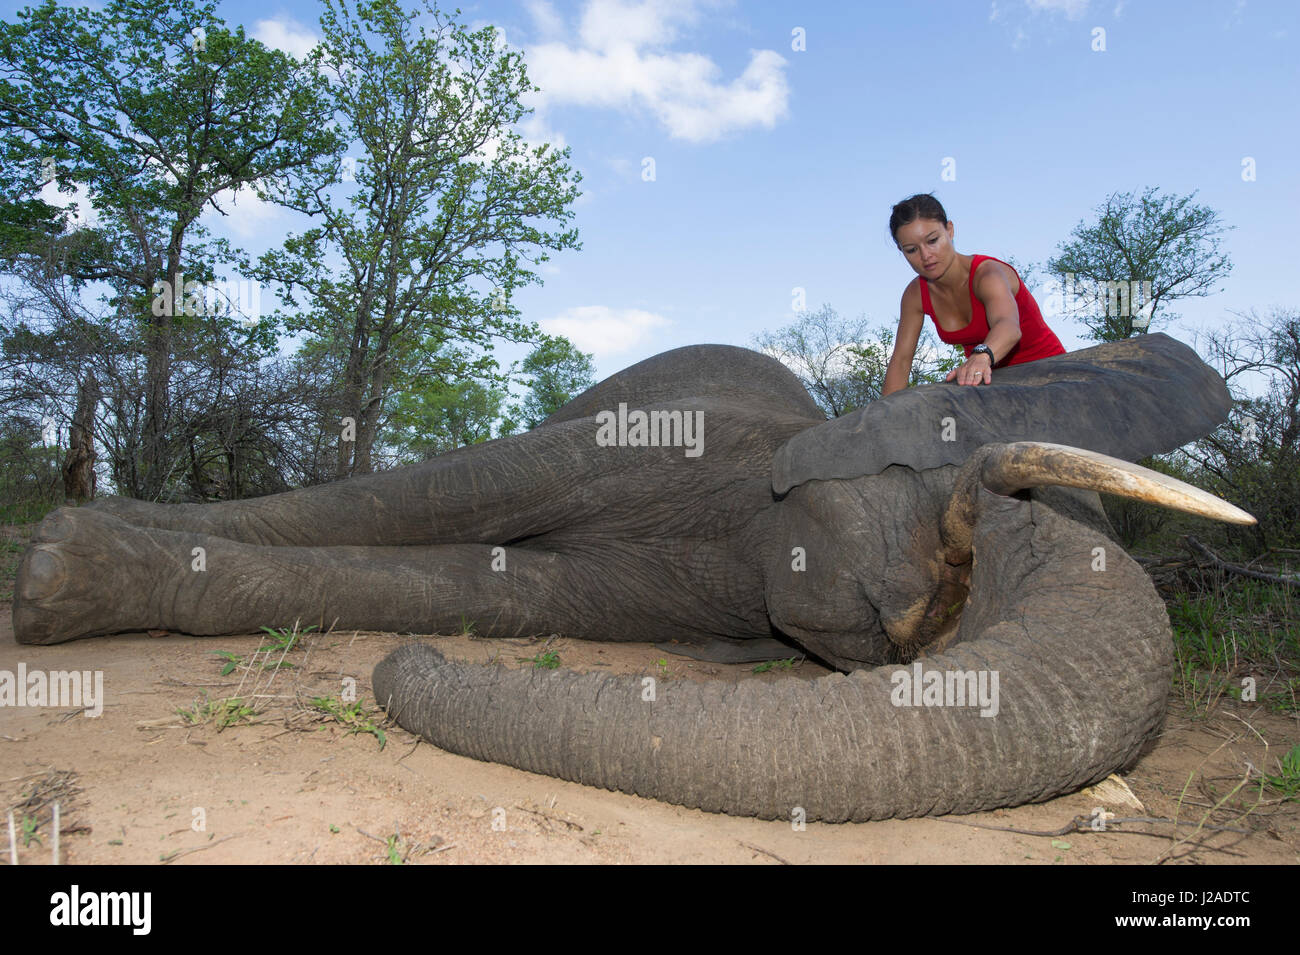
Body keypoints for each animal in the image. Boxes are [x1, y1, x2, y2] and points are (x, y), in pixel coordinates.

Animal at [11, 333, 1252, 822]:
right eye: (968, 483)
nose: (391, 674)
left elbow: (494, 589)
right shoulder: (690, 436)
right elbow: (442, 489)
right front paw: (48, 571)